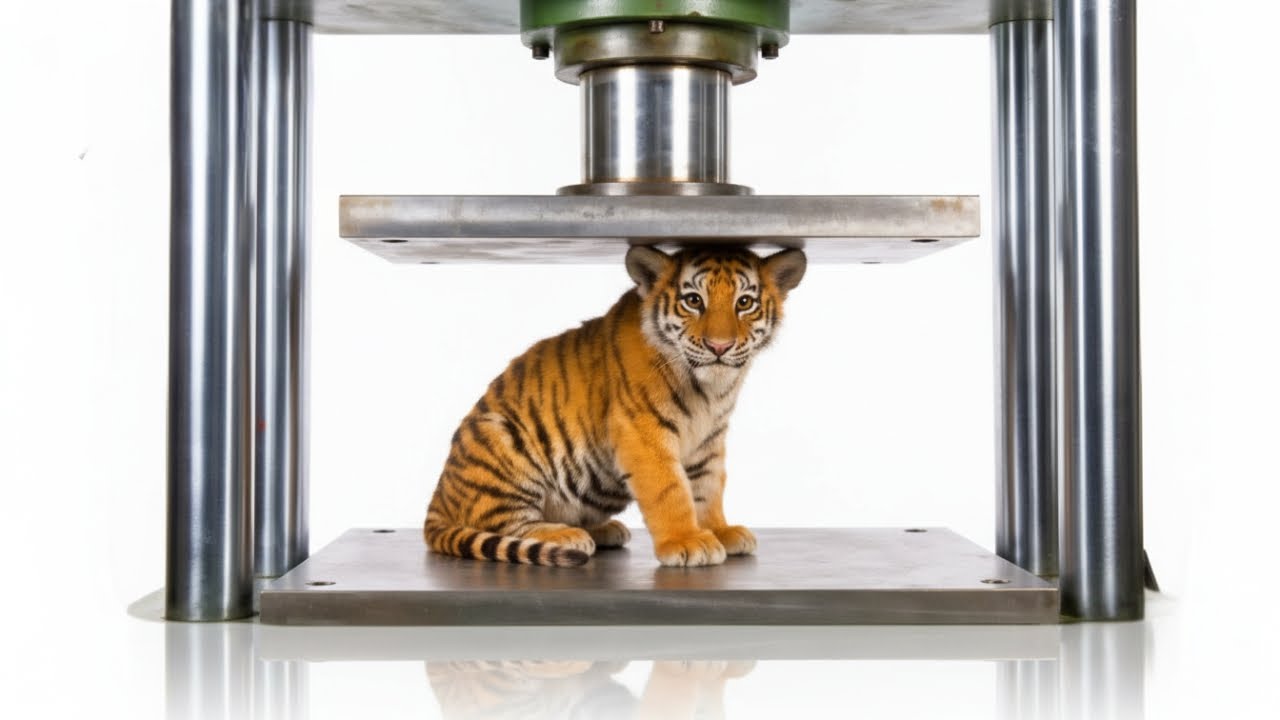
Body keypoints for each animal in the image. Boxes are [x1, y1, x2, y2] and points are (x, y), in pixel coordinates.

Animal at [423, 245, 807, 567]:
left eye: (744, 303)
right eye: (693, 300)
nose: (720, 347)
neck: (710, 390)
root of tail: (438, 501)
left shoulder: (709, 440)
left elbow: (708, 488)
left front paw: (720, 531)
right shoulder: (644, 433)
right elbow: (671, 490)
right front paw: (687, 541)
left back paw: (602, 530)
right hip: (502, 442)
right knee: (504, 525)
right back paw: (567, 535)